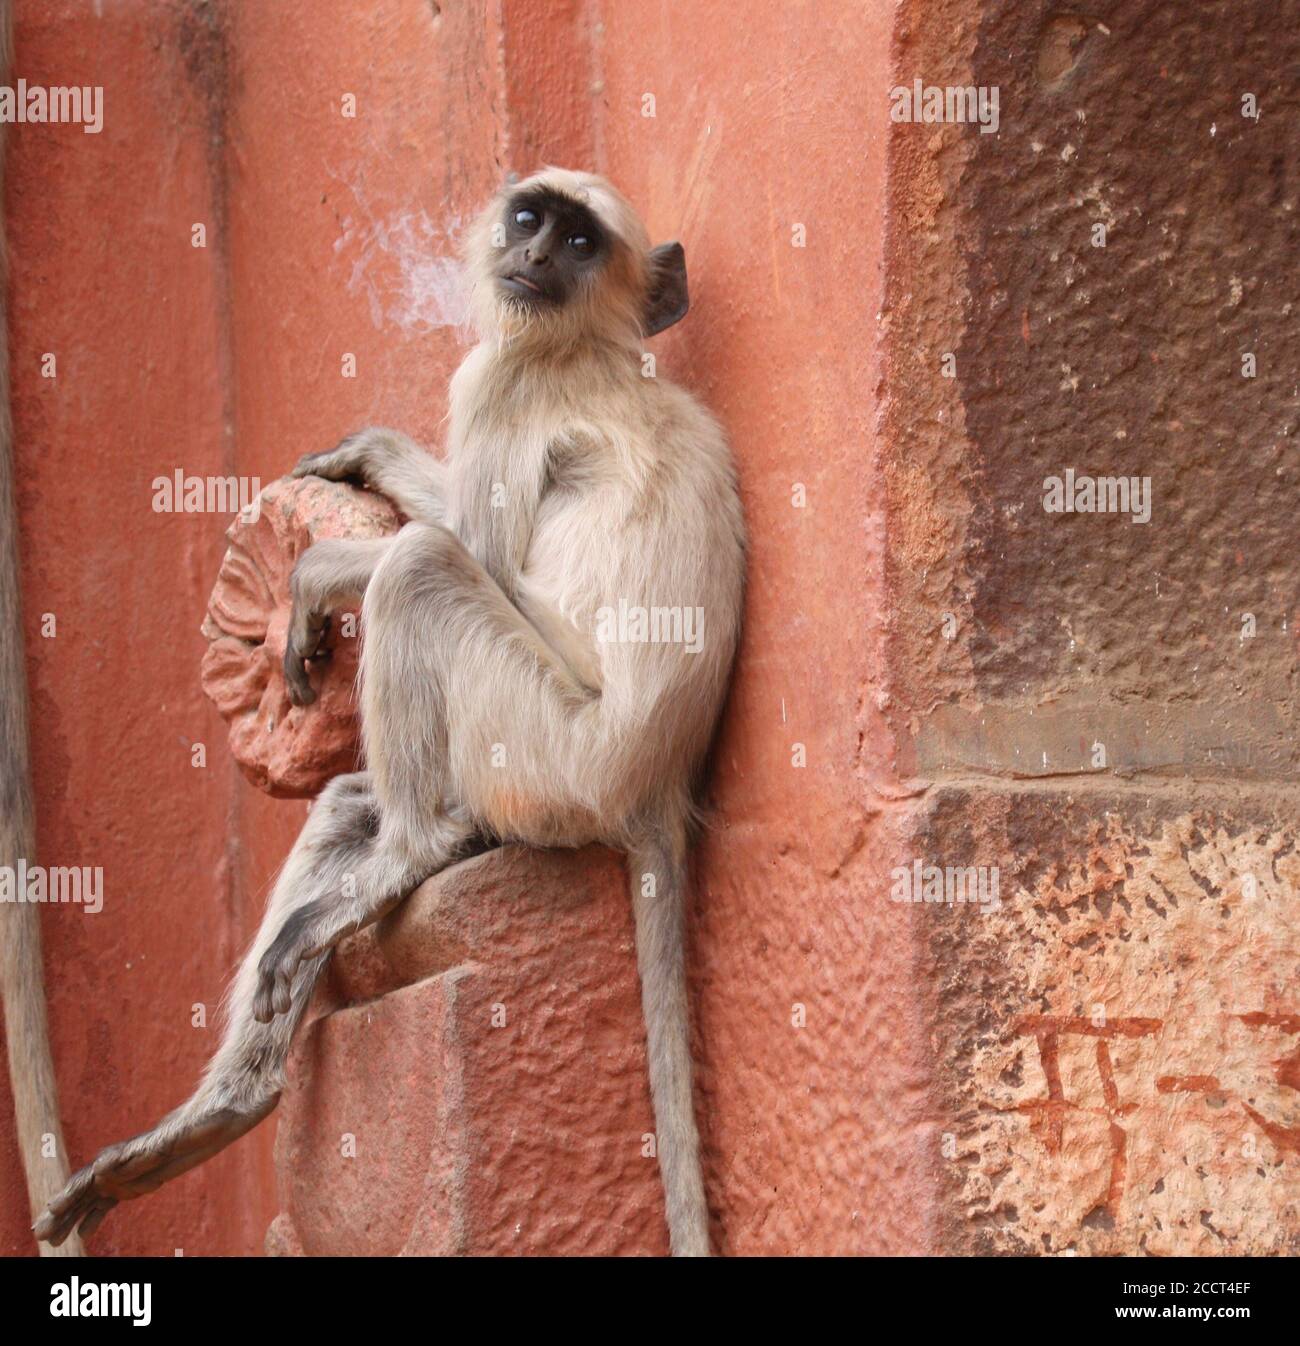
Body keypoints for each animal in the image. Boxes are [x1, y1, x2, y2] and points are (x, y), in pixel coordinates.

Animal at [35, 168, 745, 1257]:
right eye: (533, 219)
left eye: (582, 243)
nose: (535, 257)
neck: (584, 345)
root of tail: (656, 782)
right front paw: (374, 455)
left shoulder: (501, 384)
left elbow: (472, 550)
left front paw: (323, 568)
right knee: (341, 801)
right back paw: (222, 1112)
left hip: (546, 753)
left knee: (419, 569)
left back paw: (413, 847)